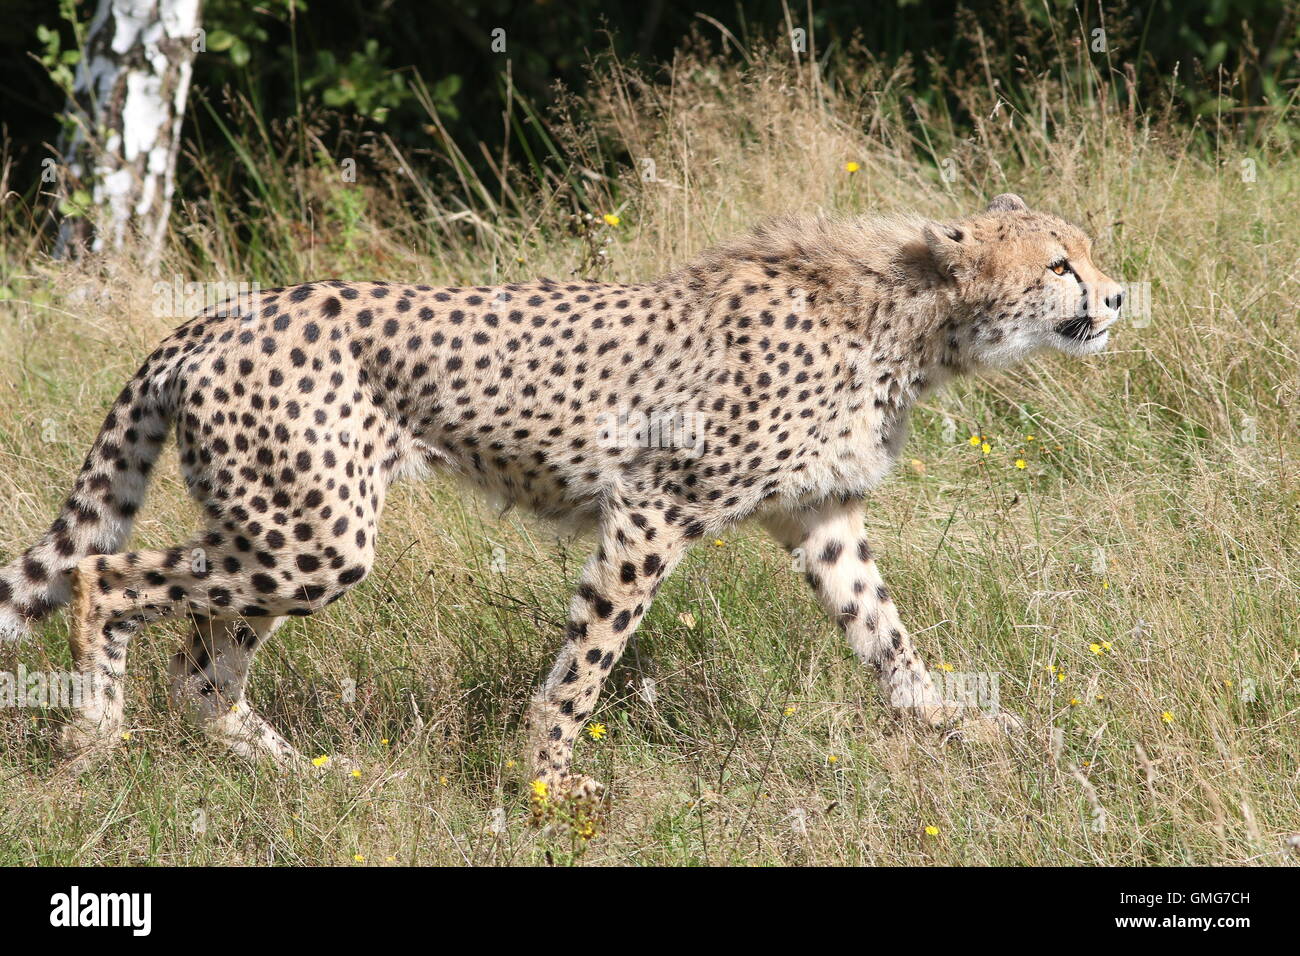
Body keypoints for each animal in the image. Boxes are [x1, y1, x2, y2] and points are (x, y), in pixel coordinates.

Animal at [0, 193, 1123, 799]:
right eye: (1058, 263)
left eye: (1084, 252)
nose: (1116, 295)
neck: (908, 317)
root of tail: (219, 314)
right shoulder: (654, 508)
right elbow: (590, 659)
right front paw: (544, 776)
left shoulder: (822, 518)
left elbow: (888, 639)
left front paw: (965, 728)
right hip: (312, 538)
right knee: (106, 580)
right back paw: (94, 740)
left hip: (280, 531)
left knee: (201, 668)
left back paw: (309, 776)